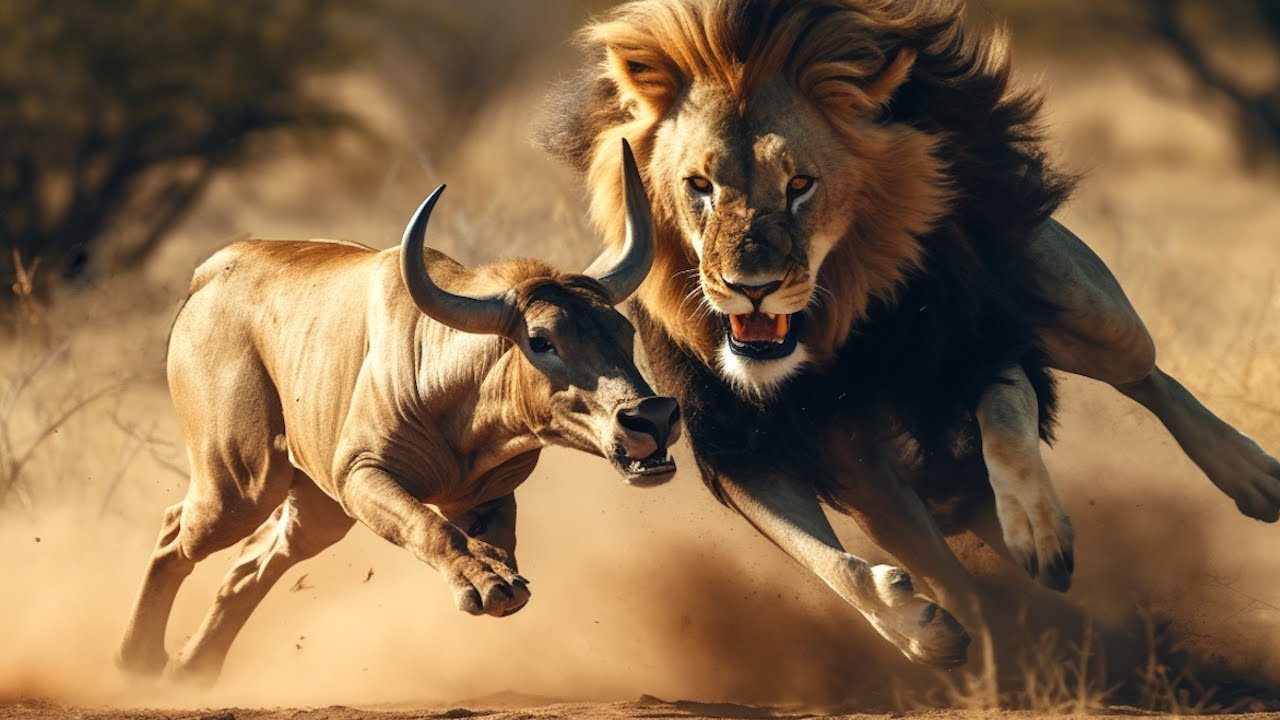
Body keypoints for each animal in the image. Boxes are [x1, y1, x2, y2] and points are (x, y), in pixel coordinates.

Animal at [538, 0, 1280, 672]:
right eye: (699, 185)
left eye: (800, 184)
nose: (753, 285)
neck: (823, 340)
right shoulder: (744, 446)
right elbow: (830, 561)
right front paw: (923, 628)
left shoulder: (971, 350)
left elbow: (1005, 430)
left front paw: (1036, 531)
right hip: (866, 469)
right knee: (932, 541)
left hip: (1084, 312)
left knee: (1146, 374)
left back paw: (1253, 477)